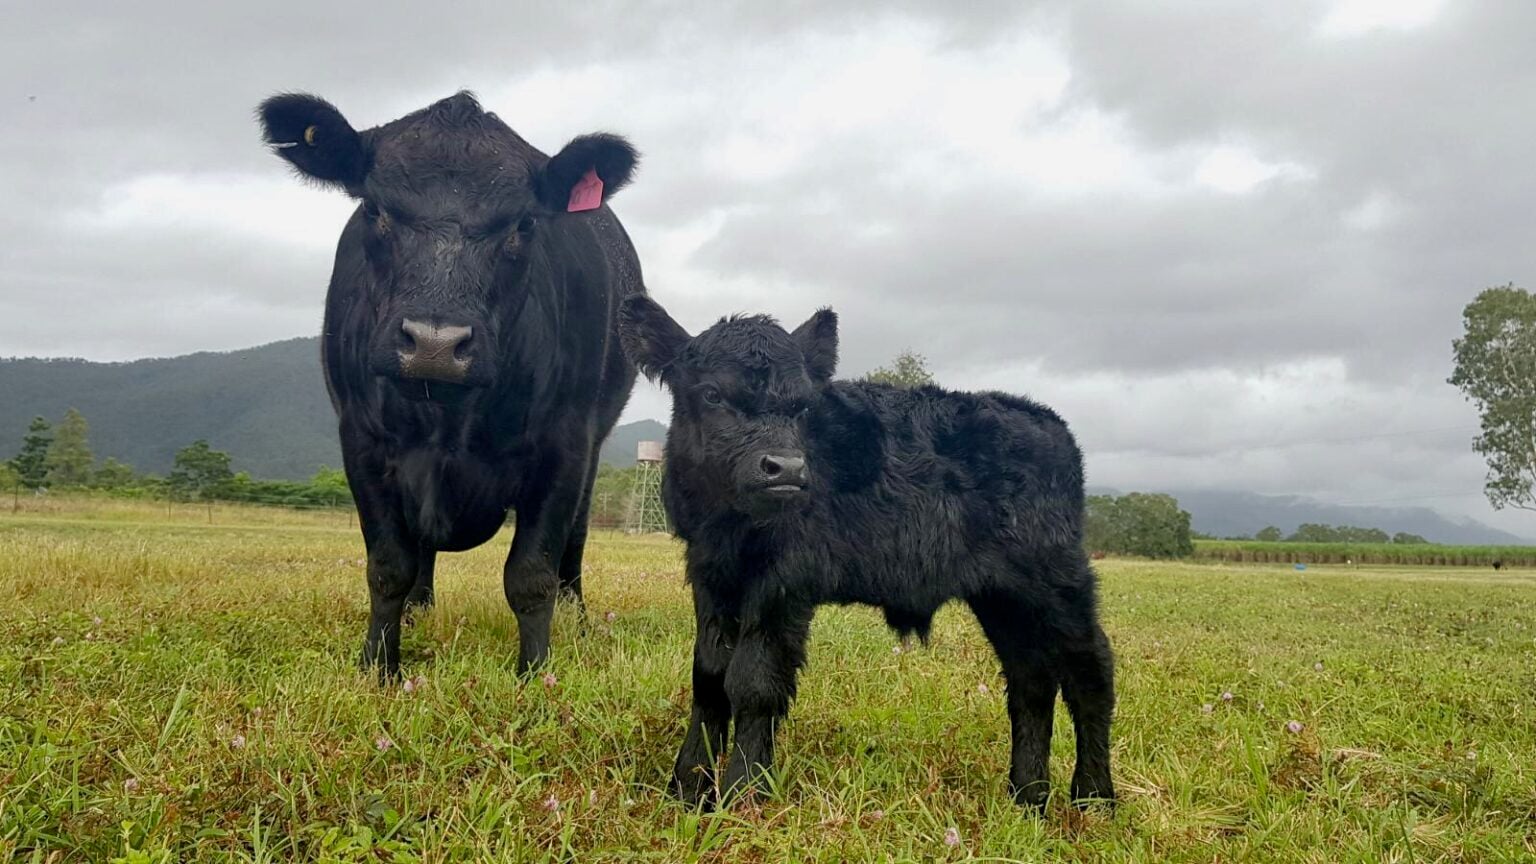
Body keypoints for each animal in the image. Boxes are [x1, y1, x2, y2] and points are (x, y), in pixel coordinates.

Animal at [257, 91, 642, 679]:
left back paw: (576, 618)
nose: (434, 343)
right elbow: (389, 566)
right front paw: (379, 666)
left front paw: (535, 675)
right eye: (375, 210)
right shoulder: (361, 440)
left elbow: (531, 574)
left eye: (524, 224)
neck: (449, 416)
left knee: (573, 543)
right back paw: (419, 610)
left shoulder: (566, 444)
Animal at [618, 296, 1116, 810]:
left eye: (803, 405)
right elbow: (709, 677)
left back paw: (1093, 796)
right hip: (1003, 596)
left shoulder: (782, 584)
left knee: (1089, 671)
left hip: (1058, 580)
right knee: (1031, 680)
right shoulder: (710, 575)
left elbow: (753, 683)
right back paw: (1028, 794)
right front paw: (687, 789)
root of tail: (1045, 420)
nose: (787, 469)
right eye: (712, 394)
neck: (730, 523)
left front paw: (745, 796)